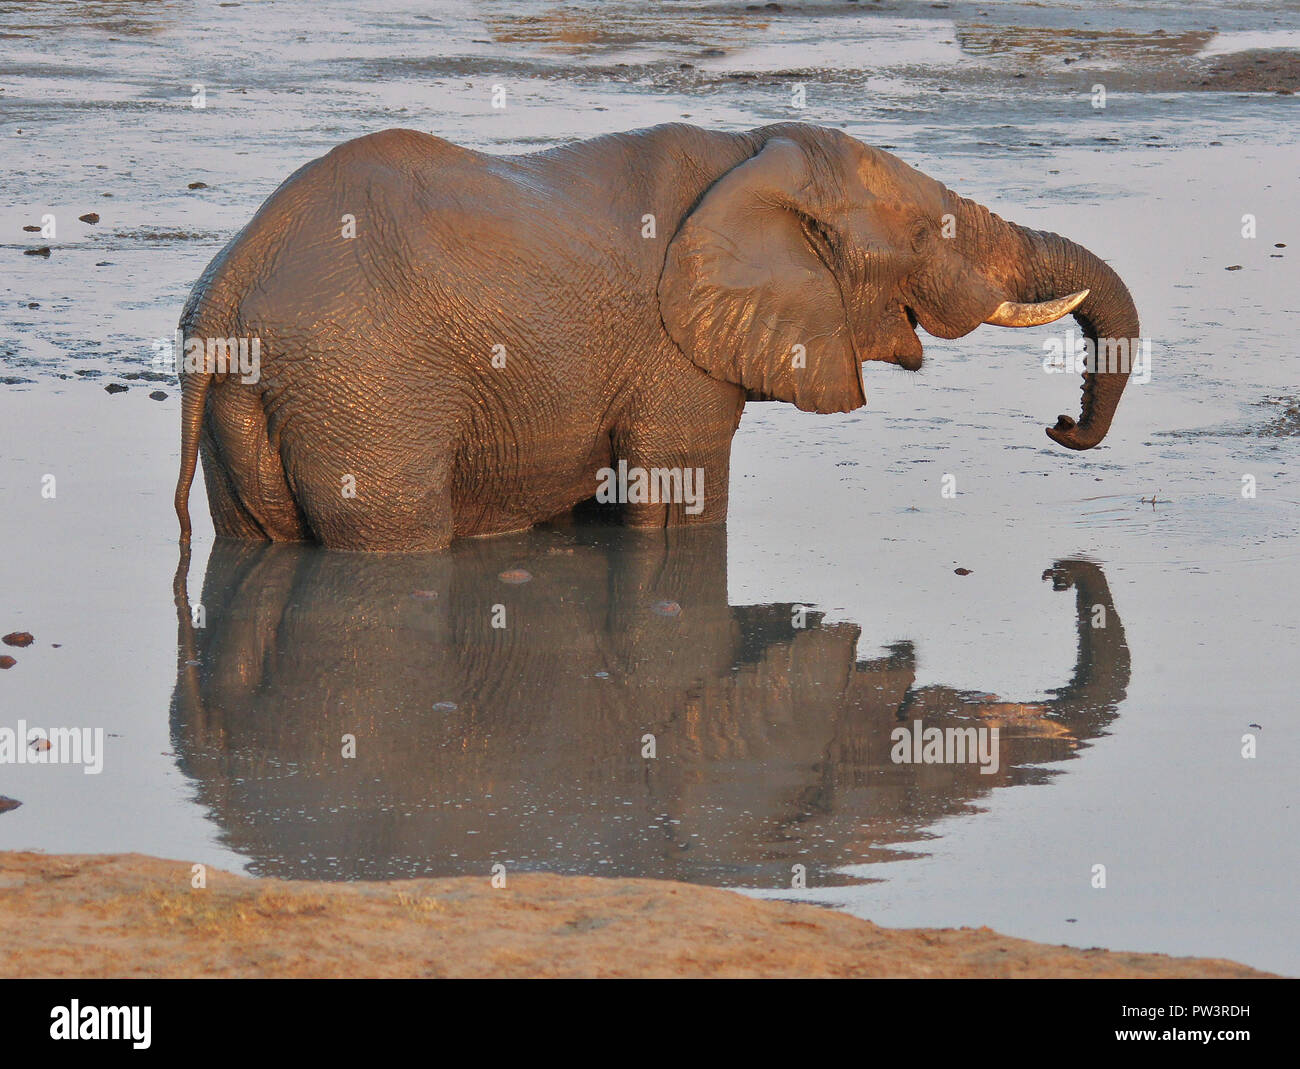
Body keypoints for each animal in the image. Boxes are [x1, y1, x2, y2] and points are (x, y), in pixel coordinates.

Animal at [173, 122, 1140, 551]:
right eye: (925, 235)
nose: (1061, 425)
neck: (752, 151)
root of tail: (227, 289)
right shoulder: (673, 356)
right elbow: (682, 504)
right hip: (366, 391)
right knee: (395, 532)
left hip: (256, 405)